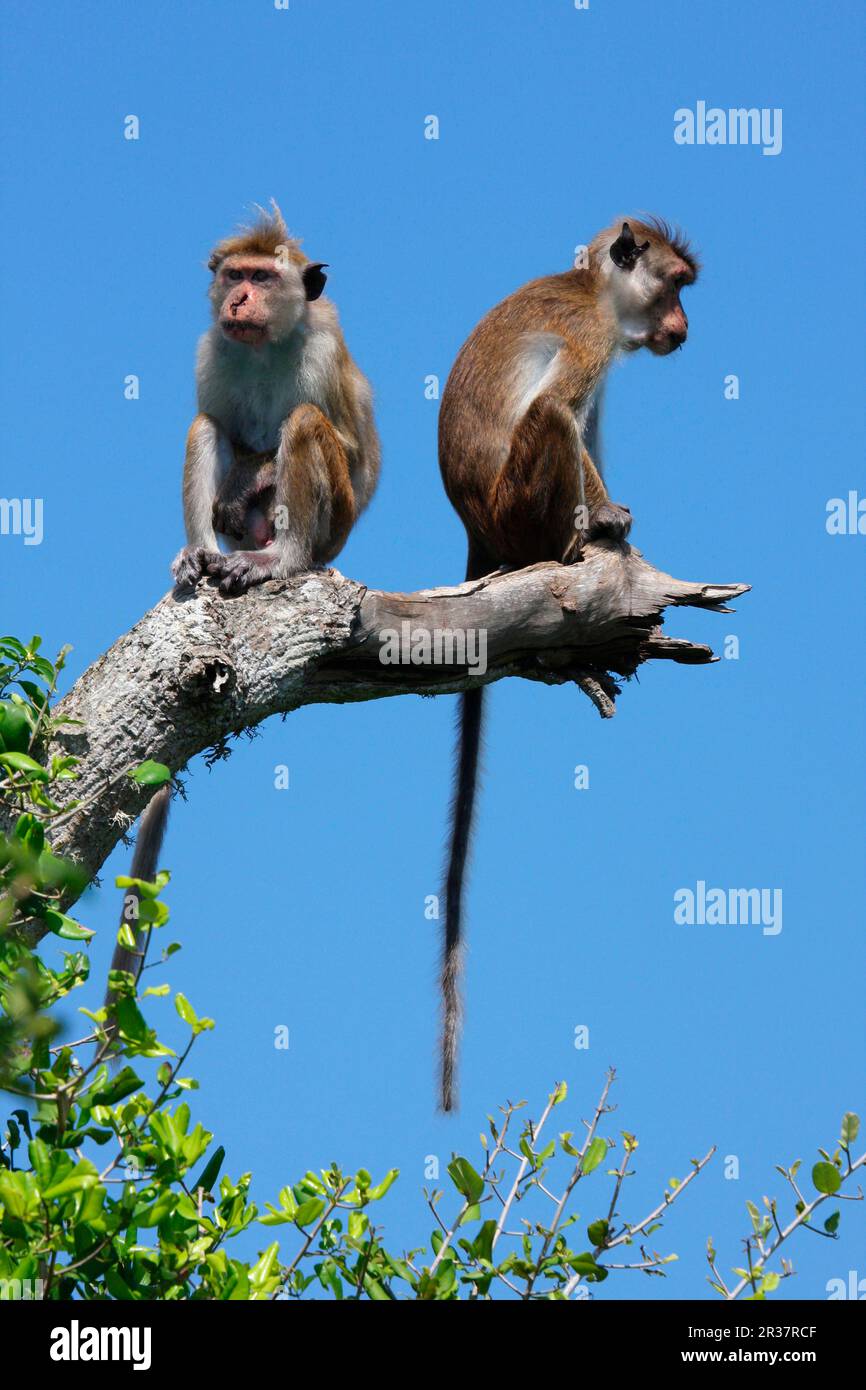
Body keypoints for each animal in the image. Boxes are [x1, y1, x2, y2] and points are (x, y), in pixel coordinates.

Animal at [172, 202, 380, 595]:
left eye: (261, 277)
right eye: (235, 276)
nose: (238, 301)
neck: (264, 348)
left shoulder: (322, 350)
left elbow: (351, 451)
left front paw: (245, 480)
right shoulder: (211, 351)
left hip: (330, 530)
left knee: (305, 420)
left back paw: (281, 558)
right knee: (205, 426)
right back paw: (201, 552)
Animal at [436, 217, 699, 1110]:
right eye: (675, 284)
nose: (685, 326)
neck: (595, 289)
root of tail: (481, 533)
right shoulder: (591, 337)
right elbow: (560, 412)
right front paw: (612, 522)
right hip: (521, 507)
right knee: (551, 426)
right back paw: (579, 543)